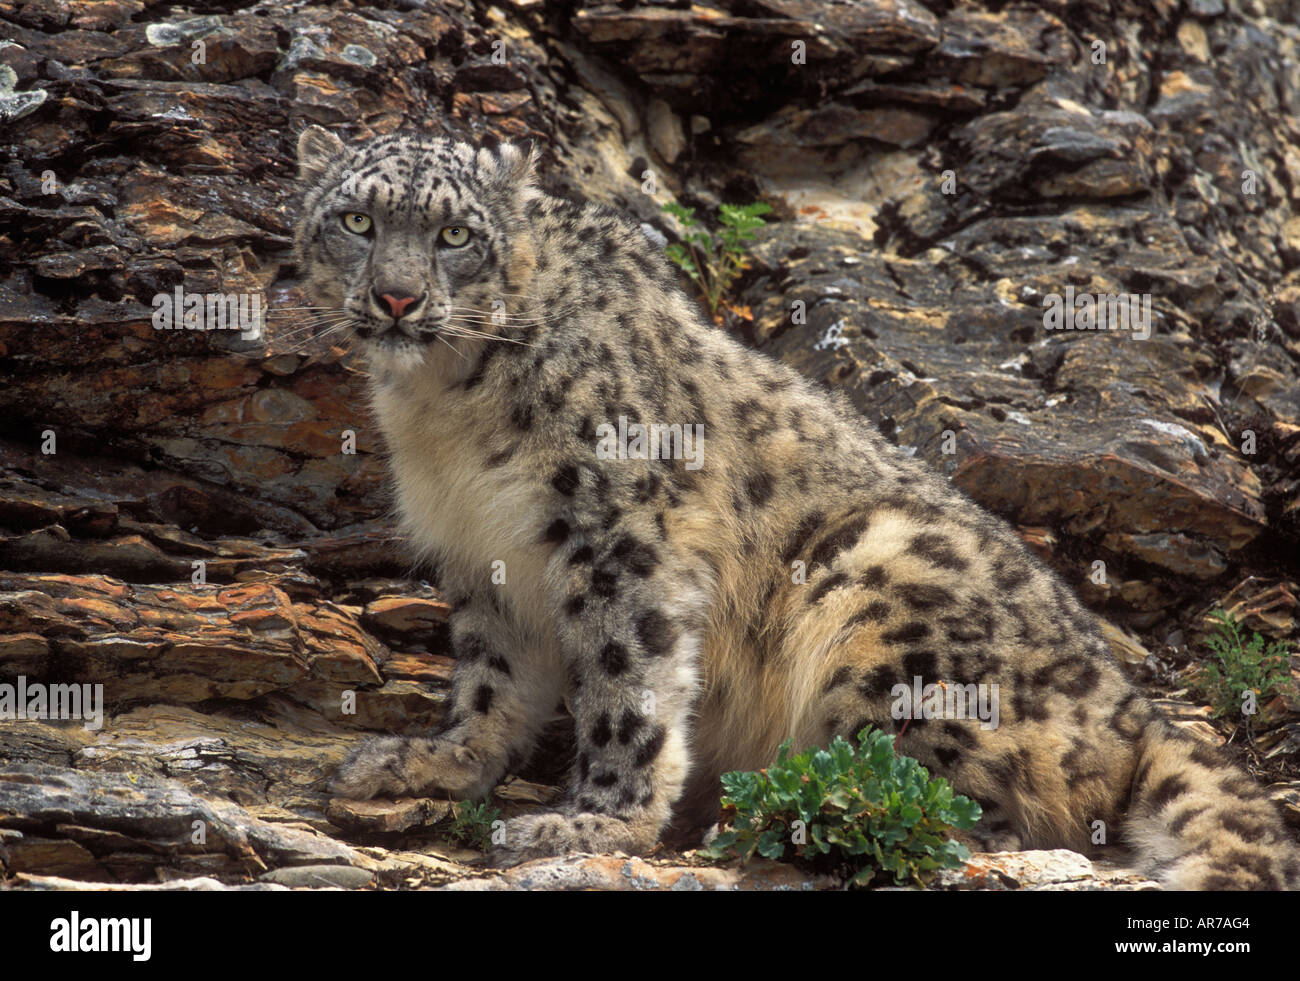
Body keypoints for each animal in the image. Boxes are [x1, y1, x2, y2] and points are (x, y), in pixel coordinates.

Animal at [292, 124, 1299, 889]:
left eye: (456, 235)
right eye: (354, 219)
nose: (396, 297)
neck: (446, 406)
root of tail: (1139, 710)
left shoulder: (619, 533)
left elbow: (627, 677)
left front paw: (599, 821)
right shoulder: (484, 557)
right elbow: (490, 679)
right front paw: (432, 759)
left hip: (878, 584)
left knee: (974, 812)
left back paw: (782, 813)